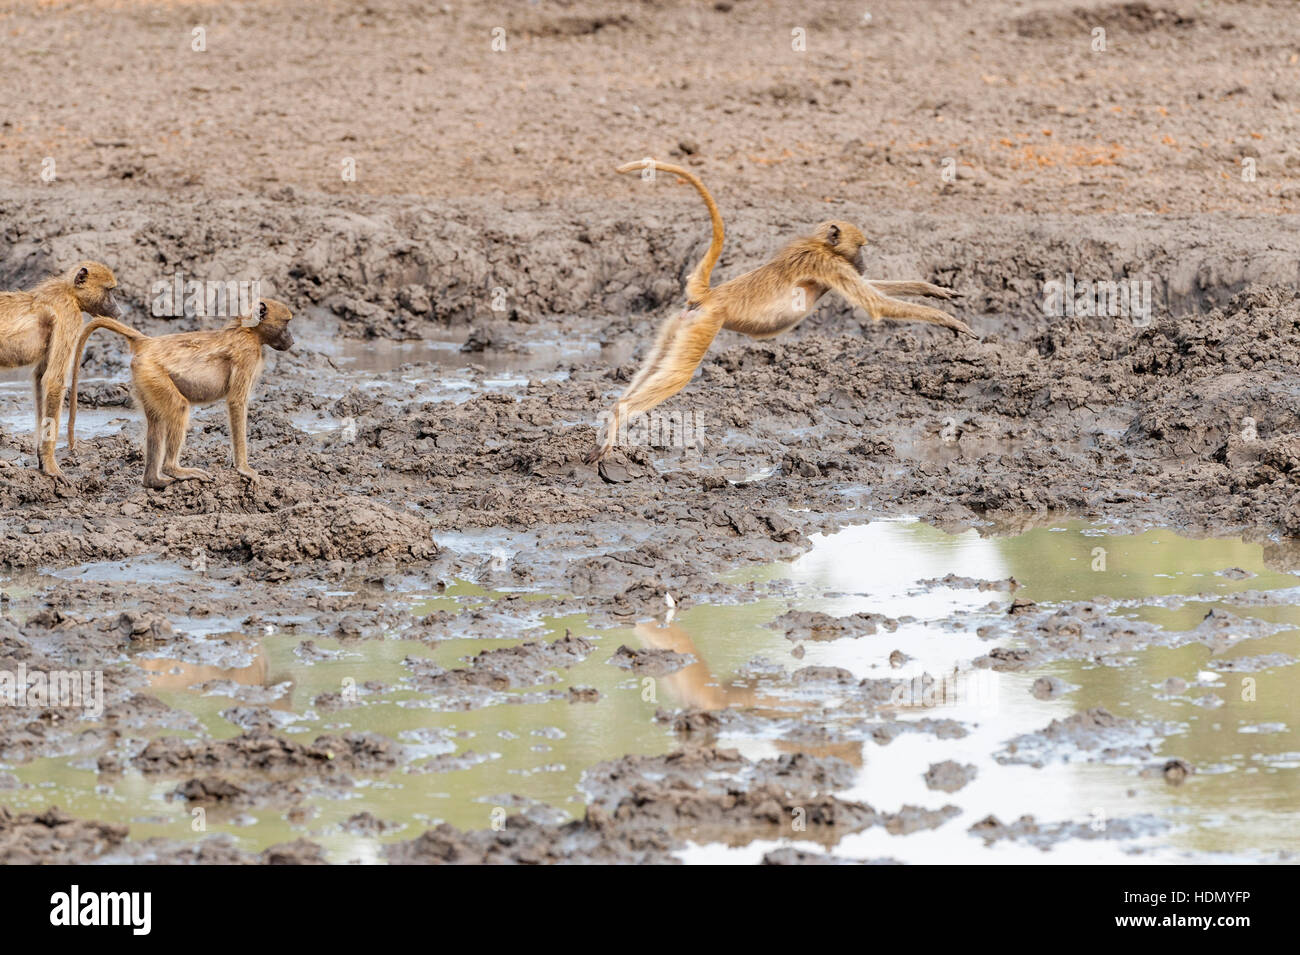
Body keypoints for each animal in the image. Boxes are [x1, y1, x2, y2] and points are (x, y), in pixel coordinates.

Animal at [0, 262, 122, 479]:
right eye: (109, 290)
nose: (119, 311)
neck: (70, 292)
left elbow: (41, 377)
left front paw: (41, 459)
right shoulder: (70, 316)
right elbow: (54, 380)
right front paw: (51, 465)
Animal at [67, 299, 294, 488]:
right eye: (286, 322)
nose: (291, 341)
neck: (248, 331)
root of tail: (147, 342)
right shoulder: (248, 354)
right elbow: (236, 402)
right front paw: (244, 469)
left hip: (145, 378)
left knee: (156, 420)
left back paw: (153, 481)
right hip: (152, 372)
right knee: (179, 407)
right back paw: (174, 470)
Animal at [585, 160, 974, 464]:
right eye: (861, 247)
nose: (863, 262)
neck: (818, 244)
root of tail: (712, 295)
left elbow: (875, 291)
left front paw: (932, 290)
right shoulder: (828, 265)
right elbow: (875, 303)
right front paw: (950, 320)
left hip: (681, 324)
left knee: (655, 366)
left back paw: (612, 417)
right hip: (704, 324)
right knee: (678, 373)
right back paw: (619, 416)